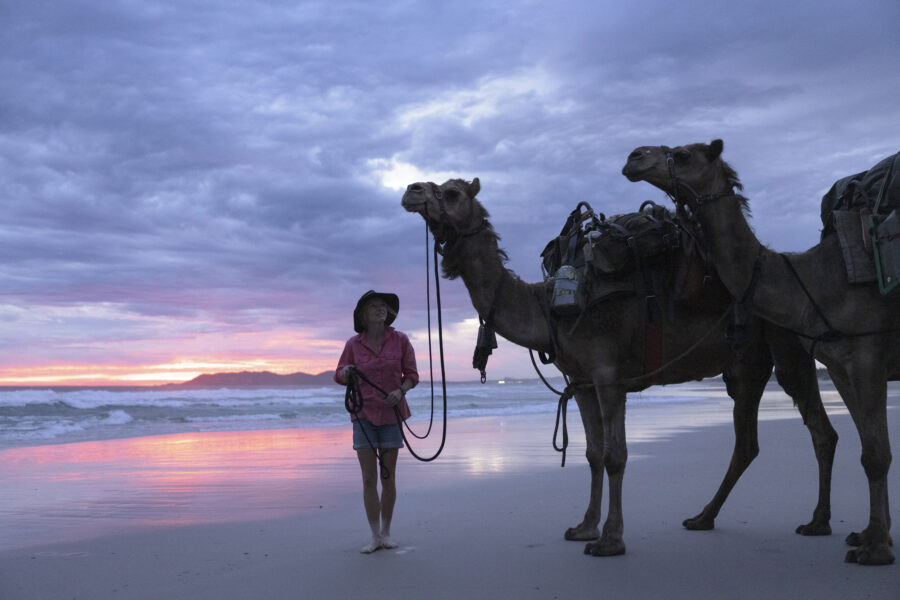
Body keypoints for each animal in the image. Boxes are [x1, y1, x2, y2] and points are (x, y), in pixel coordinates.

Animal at [401, 178, 837, 557]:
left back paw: (818, 522)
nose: (411, 190)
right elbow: (594, 454)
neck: (547, 307)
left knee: (820, 429)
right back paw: (702, 518)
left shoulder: (608, 376)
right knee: (748, 443)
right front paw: (584, 527)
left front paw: (610, 540)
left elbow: (616, 455)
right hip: (746, 364)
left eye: (453, 192)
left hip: (787, 347)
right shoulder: (581, 382)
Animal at [623, 139, 898, 565]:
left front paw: (878, 549)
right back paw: (815, 523)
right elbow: (869, 447)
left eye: (683, 154)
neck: (813, 281)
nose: (633, 157)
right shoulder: (839, 365)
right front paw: (868, 535)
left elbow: (877, 453)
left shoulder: (867, 354)